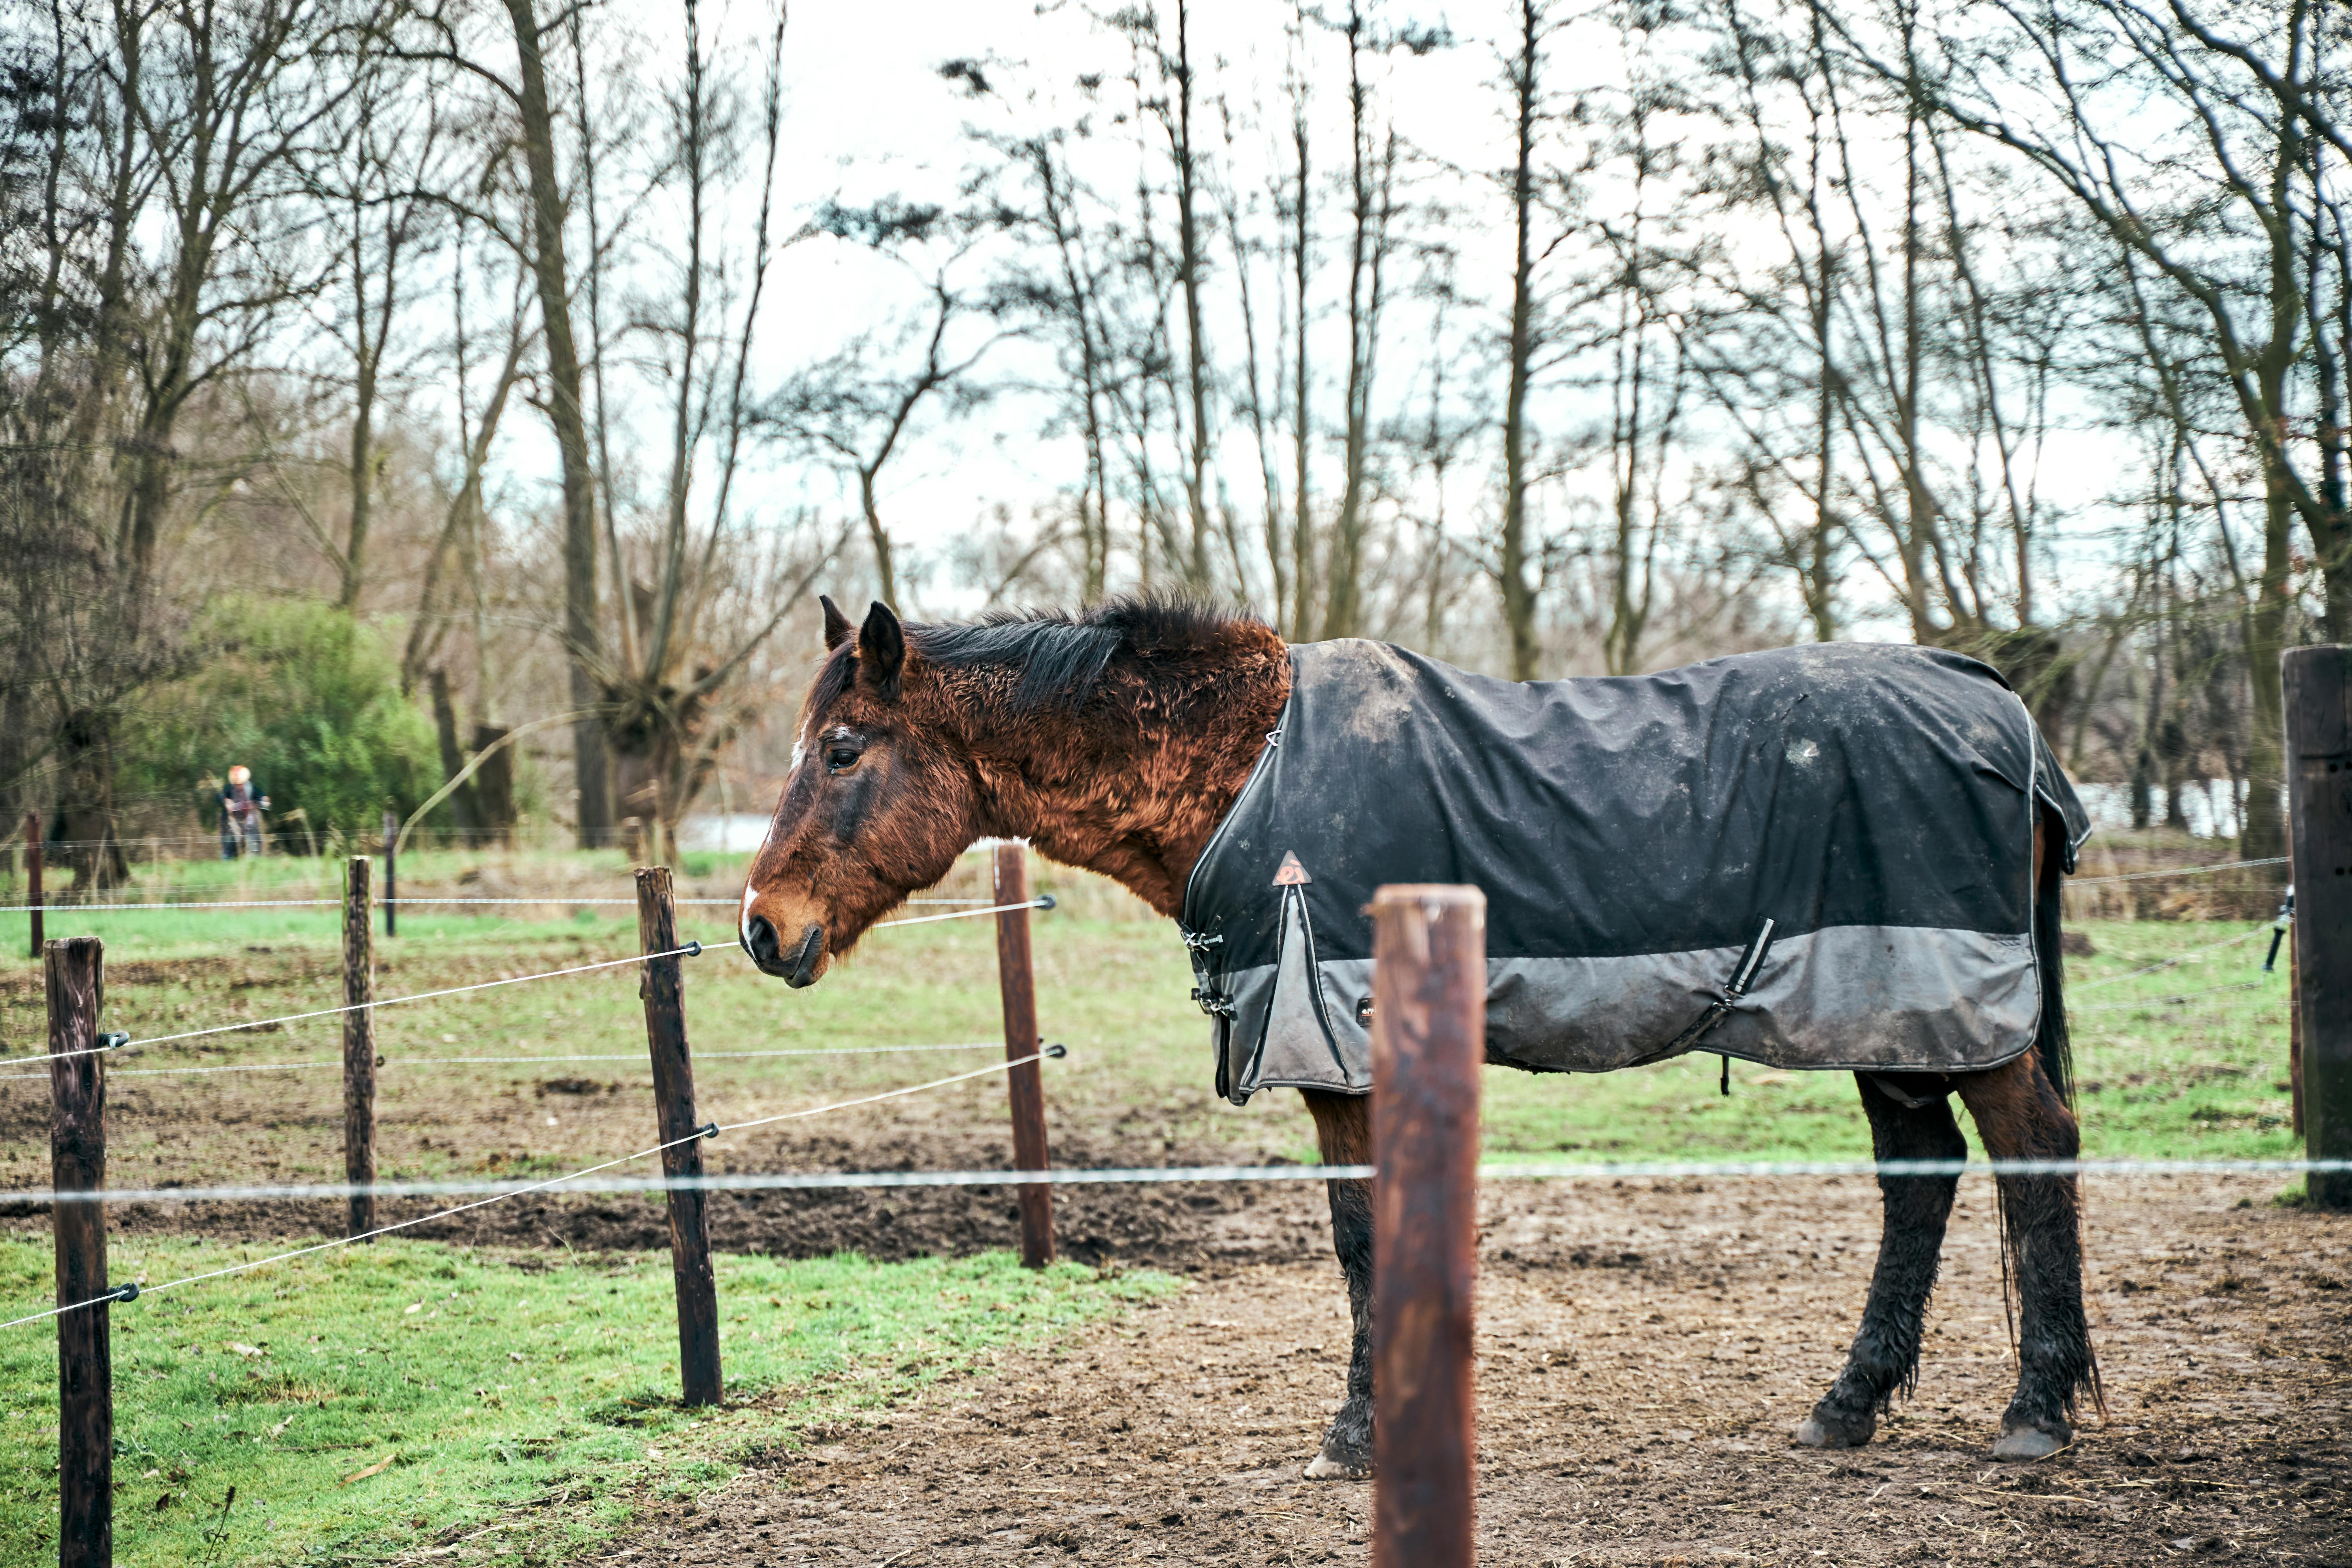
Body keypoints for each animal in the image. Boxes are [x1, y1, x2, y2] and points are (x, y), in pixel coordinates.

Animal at [737, 595, 2097, 1477]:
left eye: (843, 750)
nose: (761, 927)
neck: (1245, 770)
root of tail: (2006, 719)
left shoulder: (1336, 1052)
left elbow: (1358, 1237)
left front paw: (1359, 1435)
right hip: (1893, 1011)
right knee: (1920, 1177)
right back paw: (1849, 1402)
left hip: (1953, 1014)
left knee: (2034, 1151)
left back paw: (2034, 1412)